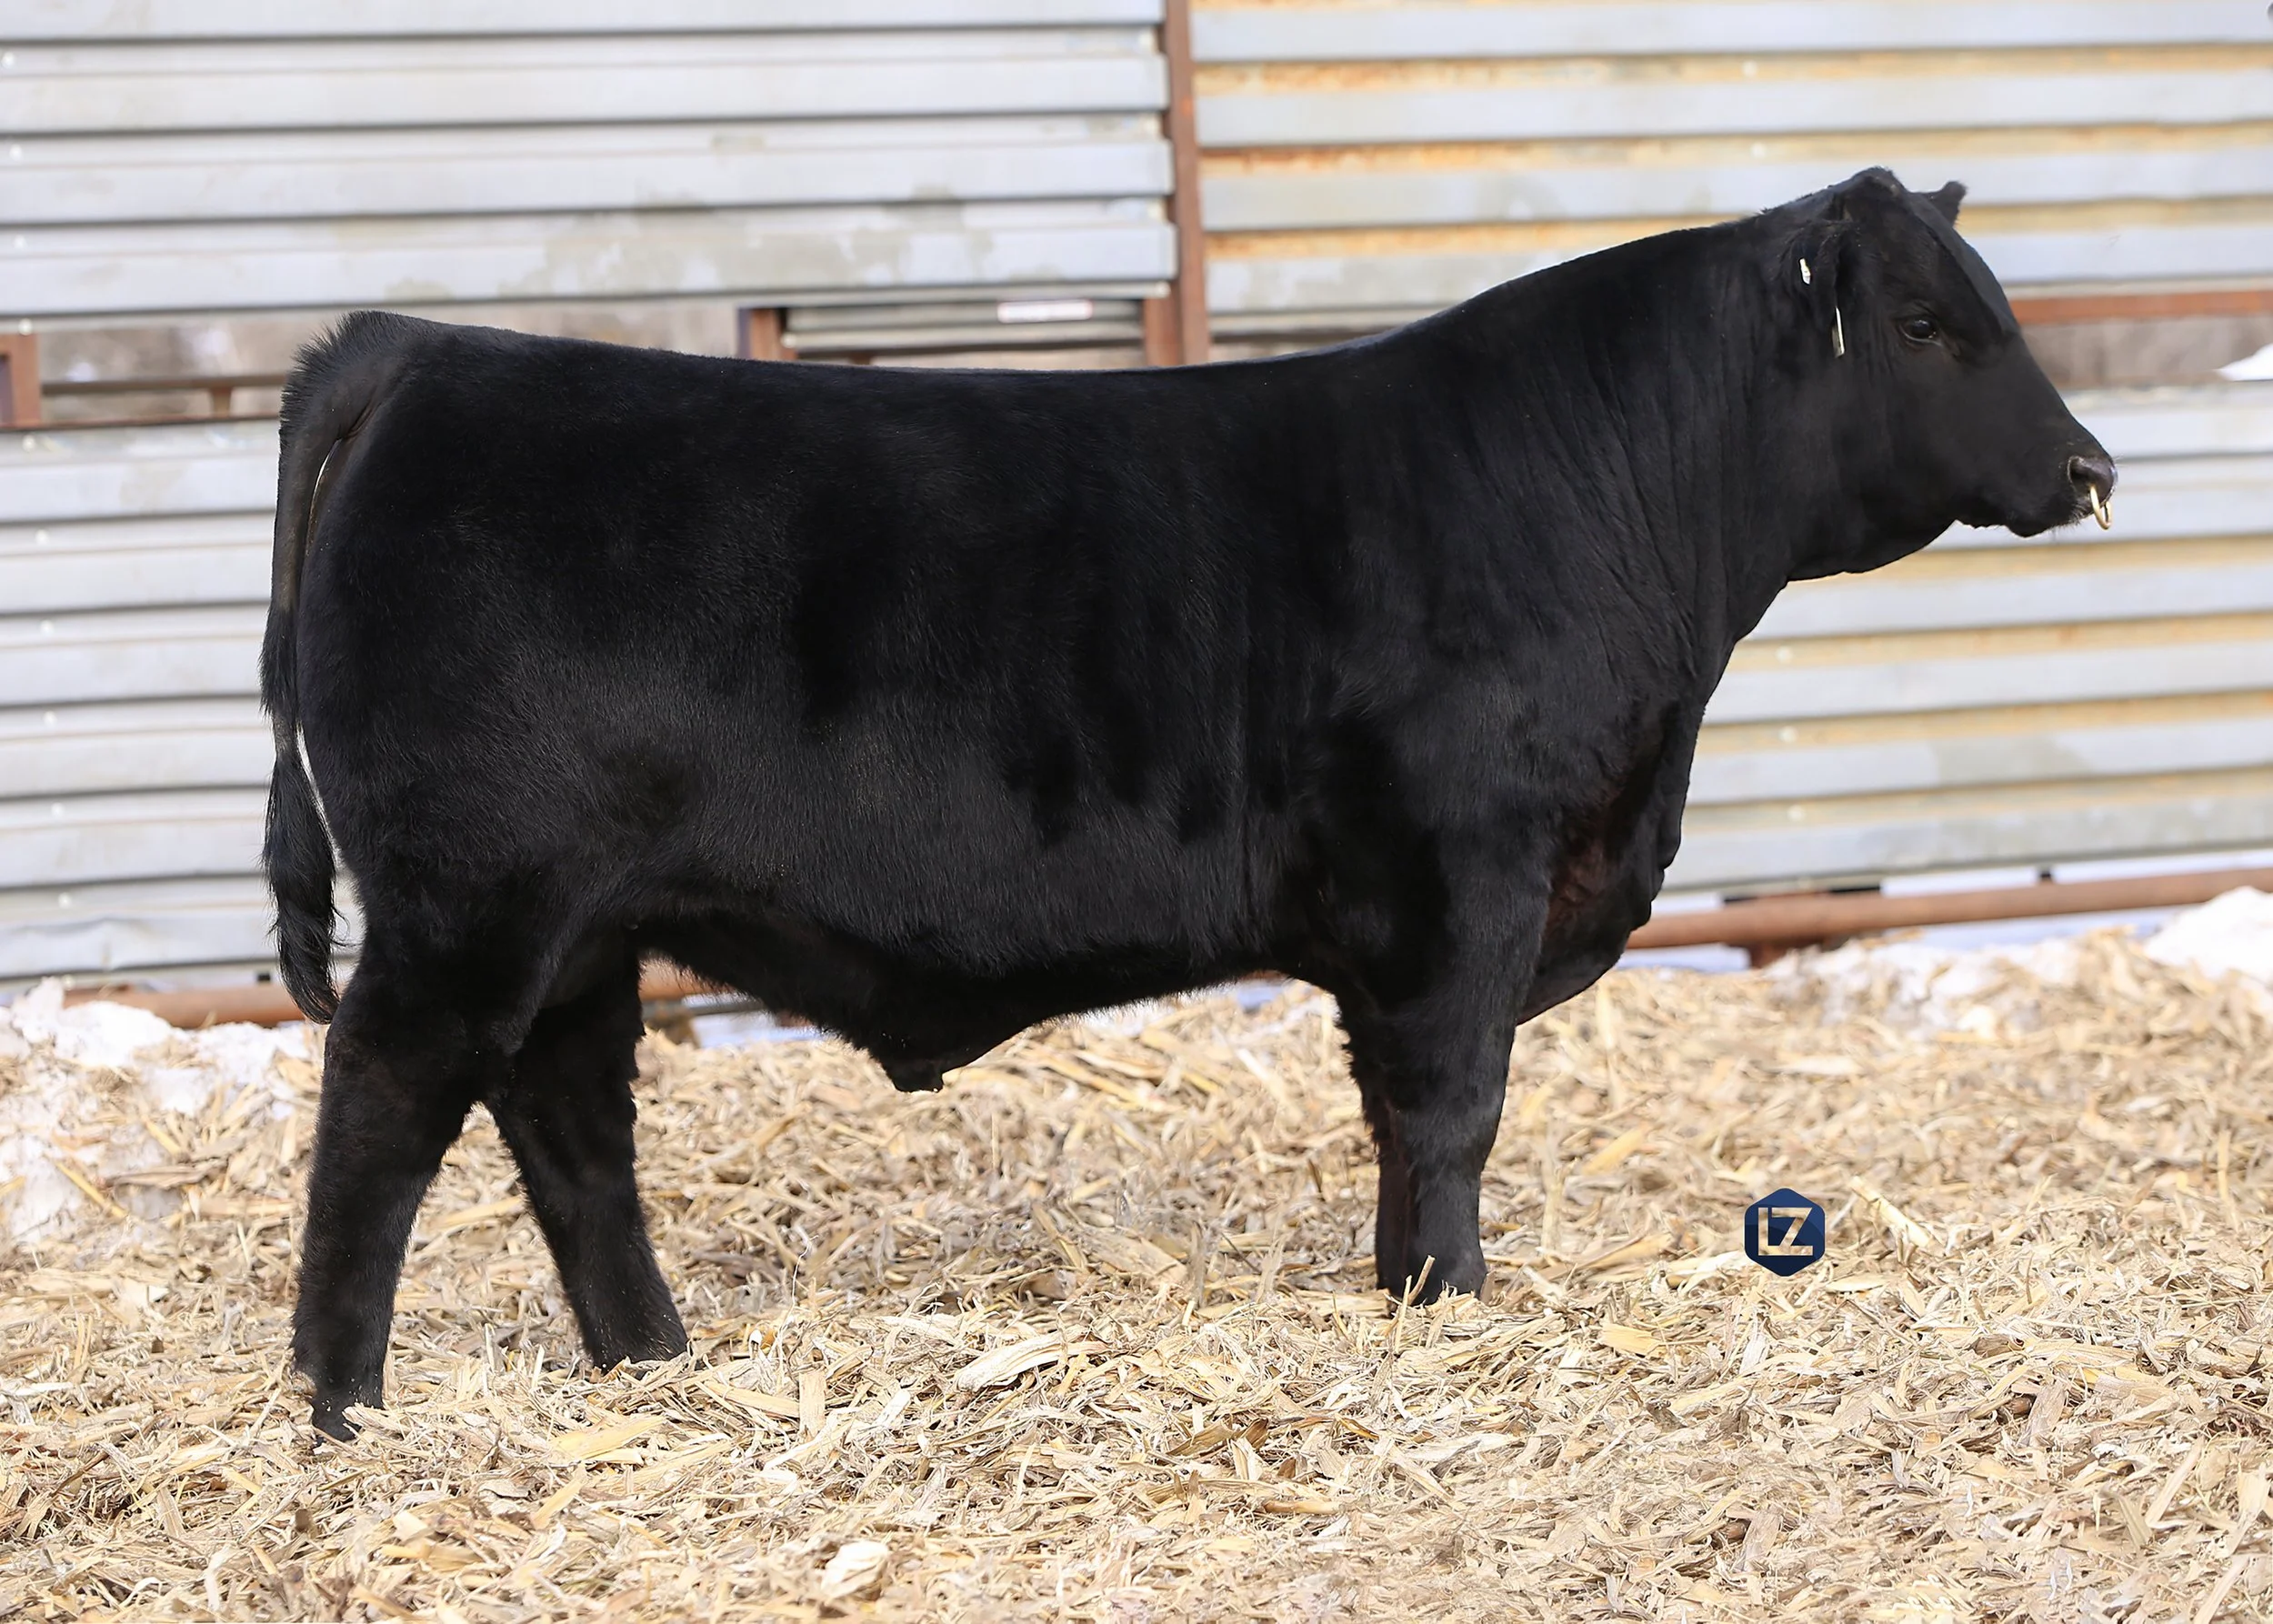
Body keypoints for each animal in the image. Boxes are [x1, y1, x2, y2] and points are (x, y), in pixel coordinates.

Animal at [264, 169, 2113, 1436]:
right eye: (1932, 325)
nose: (2093, 467)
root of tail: (427, 351)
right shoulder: (1464, 875)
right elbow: (1454, 1107)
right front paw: (1455, 1302)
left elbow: (1402, 1118)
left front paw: (1407, 1288)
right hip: (469, 904)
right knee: (383, 1110)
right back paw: (344, 1407)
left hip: (581, 928)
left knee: (572, 1130)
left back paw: (654, 1364)